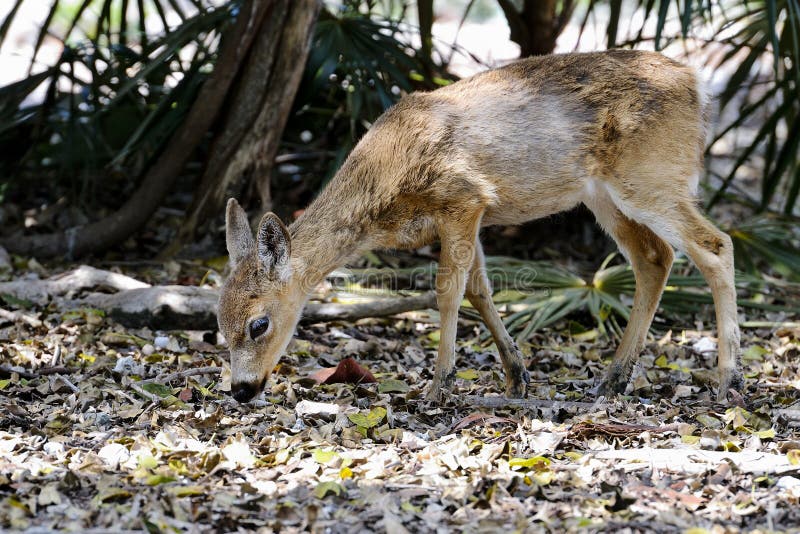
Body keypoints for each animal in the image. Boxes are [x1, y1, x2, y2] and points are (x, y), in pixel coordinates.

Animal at [218, 49, 742, 404]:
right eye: (218, 324)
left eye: (259, 323)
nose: (242, 390)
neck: (383, 186)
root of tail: (698, 85)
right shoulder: (474, 214)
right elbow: (479, 289)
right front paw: (516, 376)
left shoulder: (462, 196)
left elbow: (447, 290)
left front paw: (439, 385)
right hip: (605, 194)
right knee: (655, 259)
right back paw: (613, 379)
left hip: (651, 174)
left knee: (715, 244)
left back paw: (729, 381)